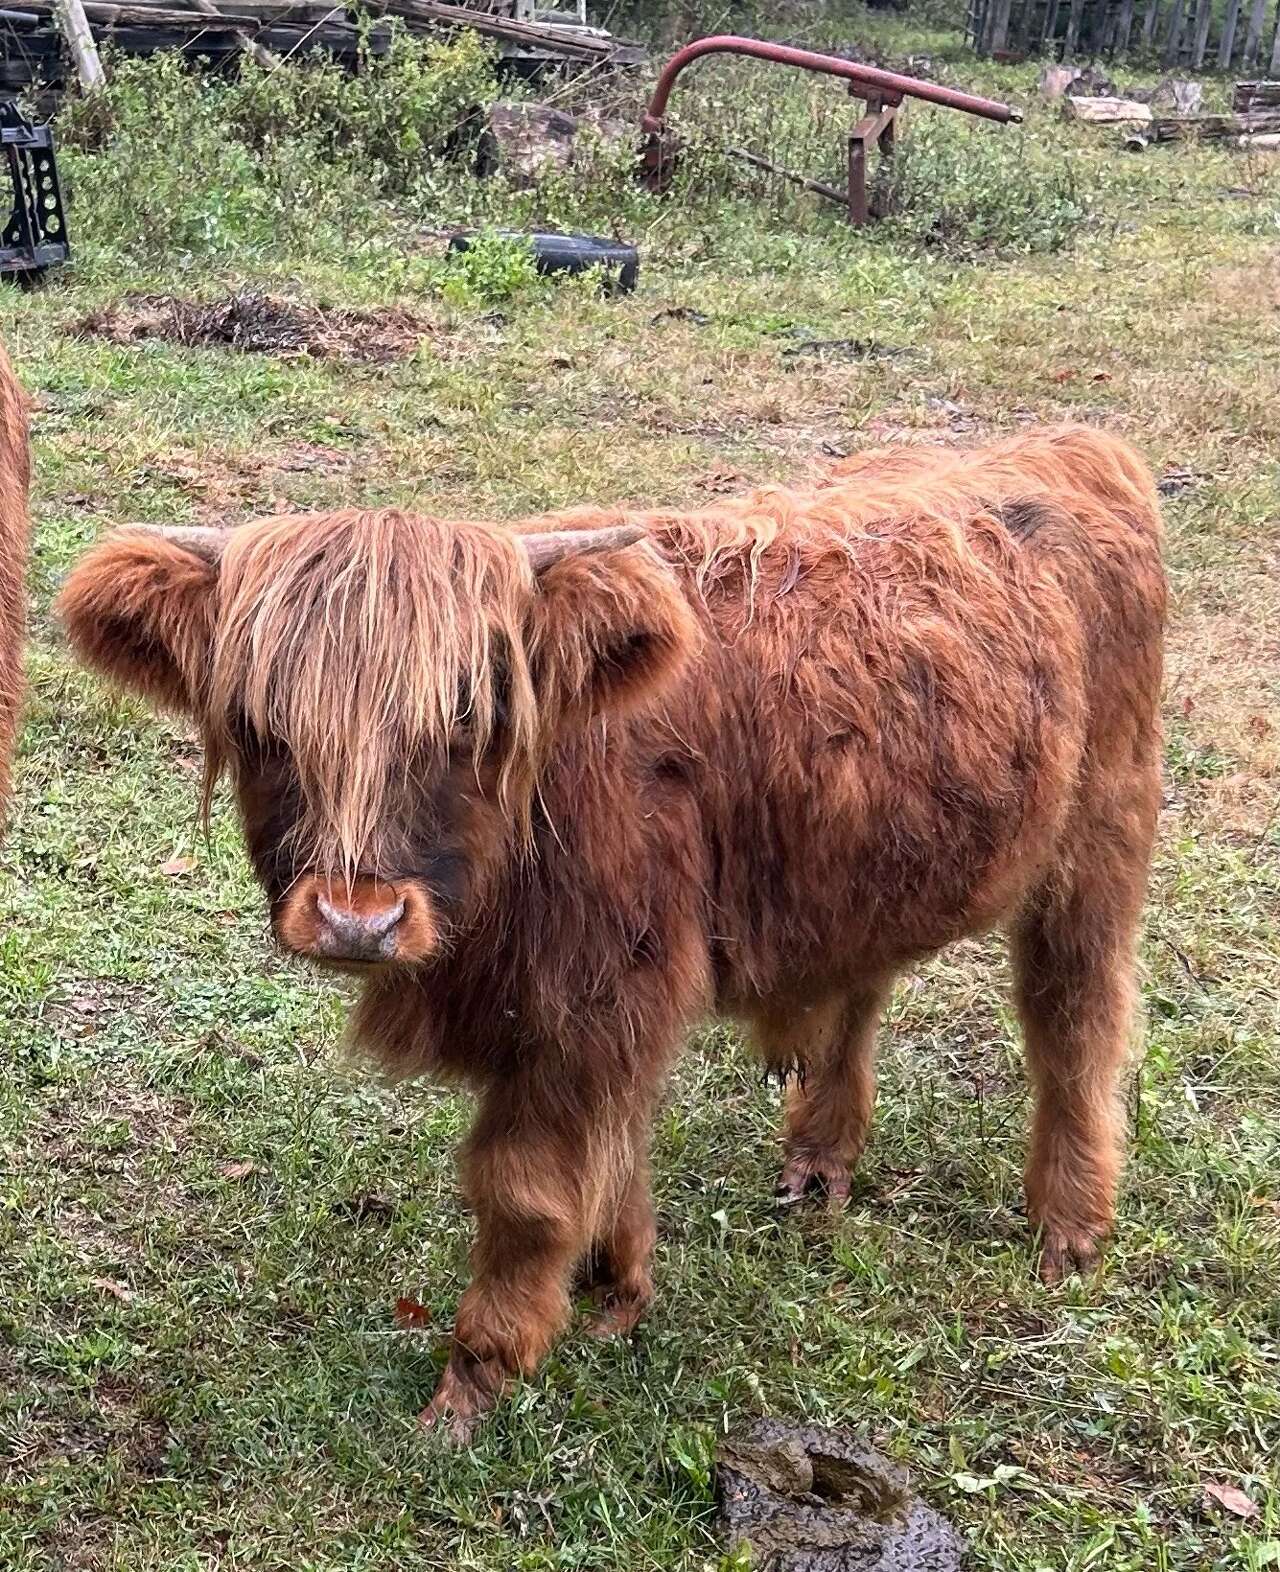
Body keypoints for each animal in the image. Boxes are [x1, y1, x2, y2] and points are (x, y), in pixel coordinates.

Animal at [57, 425, 1165, 1442]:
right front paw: (614, 1284)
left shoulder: (595, 1000)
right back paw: (819, 1161)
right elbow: (613, 1150)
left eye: (468, 718)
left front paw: (478, 1376)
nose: (355, 919)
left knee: (1076, 1020)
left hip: (1099, 839)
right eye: (260, 725)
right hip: (873, 862)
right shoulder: (599, 1010)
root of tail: (1070, 443)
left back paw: (1067, 1229)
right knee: (862, 986)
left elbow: (529, 1189)